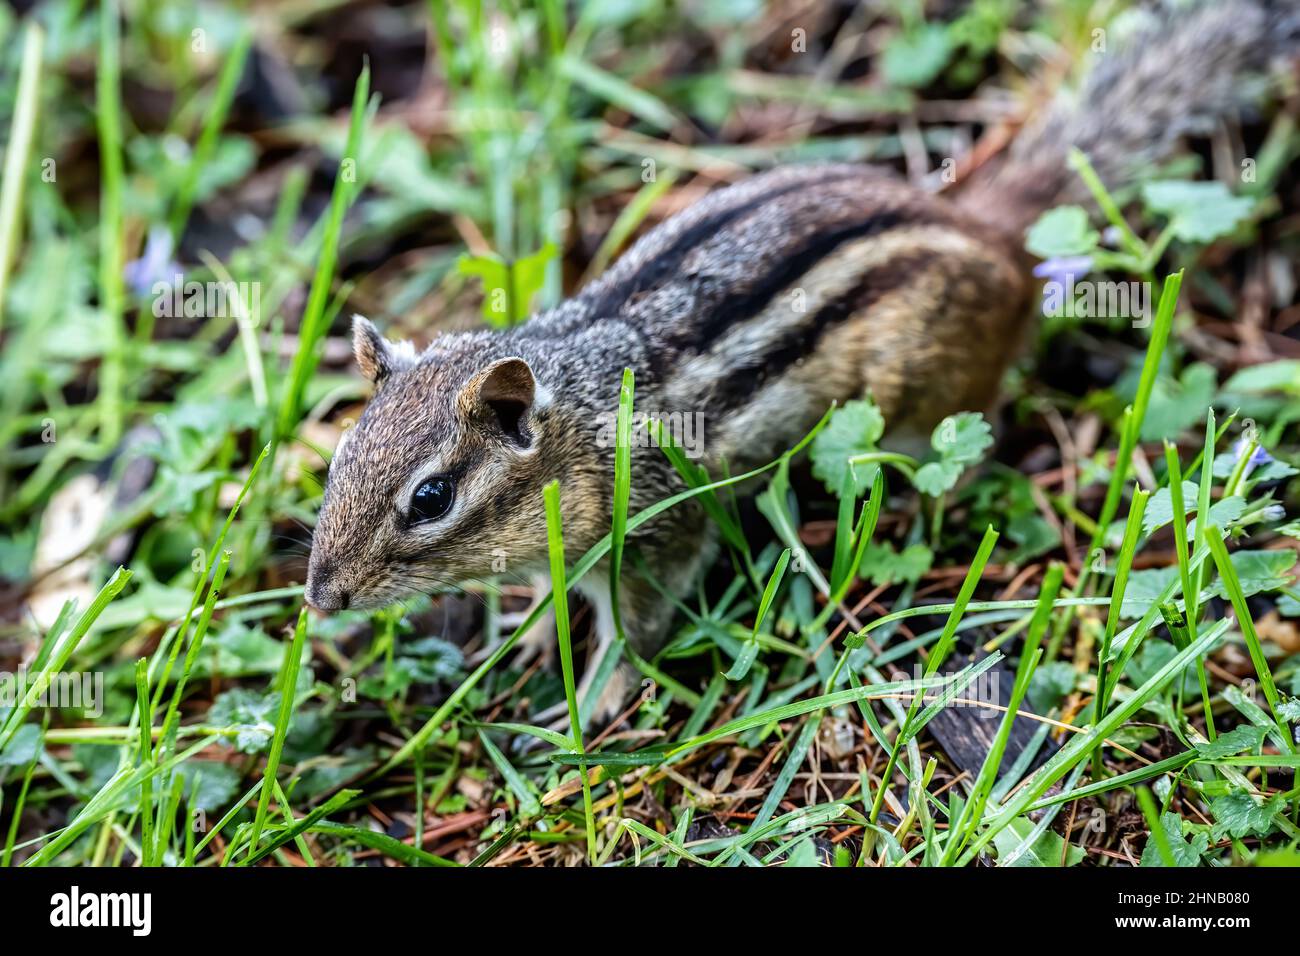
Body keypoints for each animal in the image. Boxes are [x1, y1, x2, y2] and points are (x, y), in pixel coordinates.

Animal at [307, 0, 1300, 720]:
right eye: (338, 461)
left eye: (430, 499)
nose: (319, 599)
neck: (584, 425)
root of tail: (993, 235)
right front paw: (529, 637)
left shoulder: (663, 533)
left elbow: (637, 631)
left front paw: (592, 705)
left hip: (918, 394)